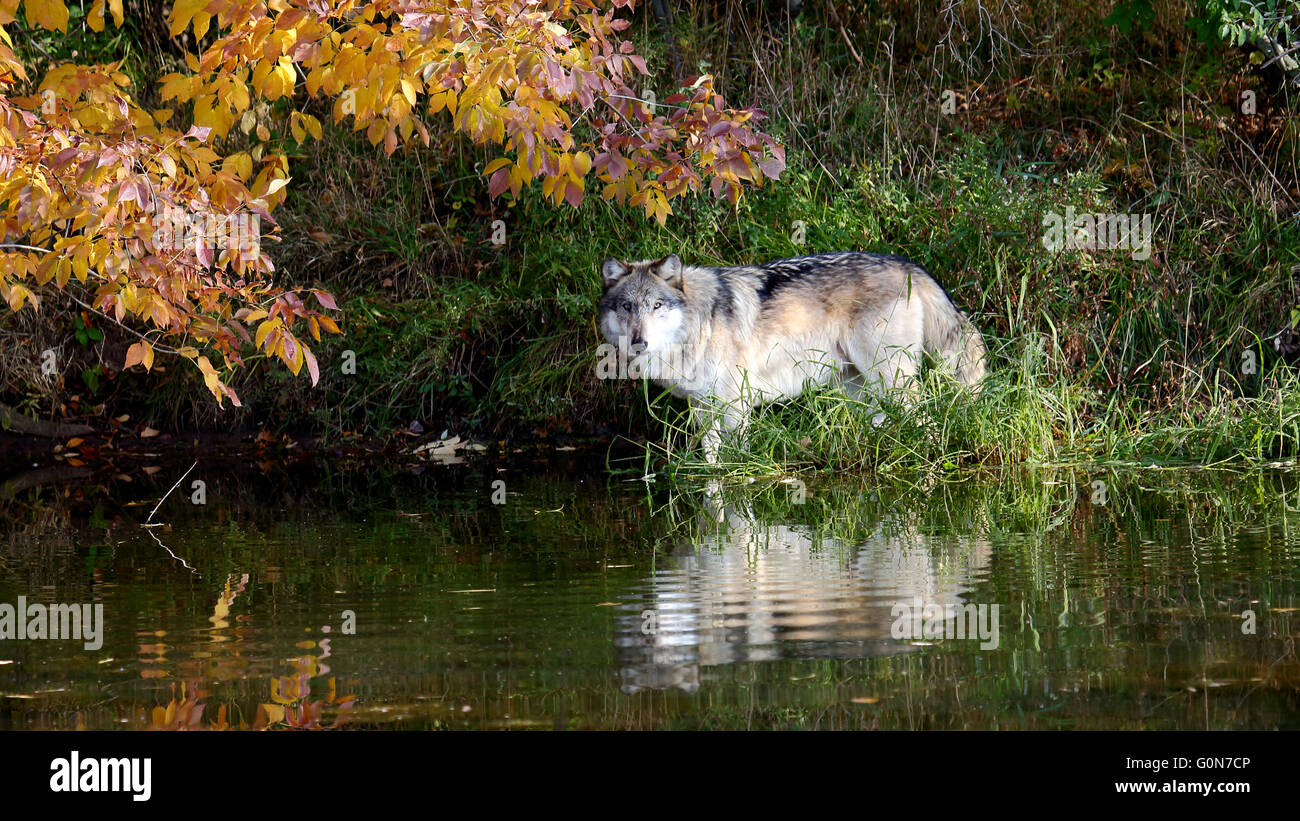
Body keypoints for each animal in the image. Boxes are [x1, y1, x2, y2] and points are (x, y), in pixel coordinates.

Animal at [598, 251, 986, 461]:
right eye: (627, 307)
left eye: (657, 305)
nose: (639, 342)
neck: (701, 322)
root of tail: (905, 263)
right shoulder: (703, 407)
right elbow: (711, 462)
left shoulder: (736, 406)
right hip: (860, 388)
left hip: (892, 380)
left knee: (927, 420)